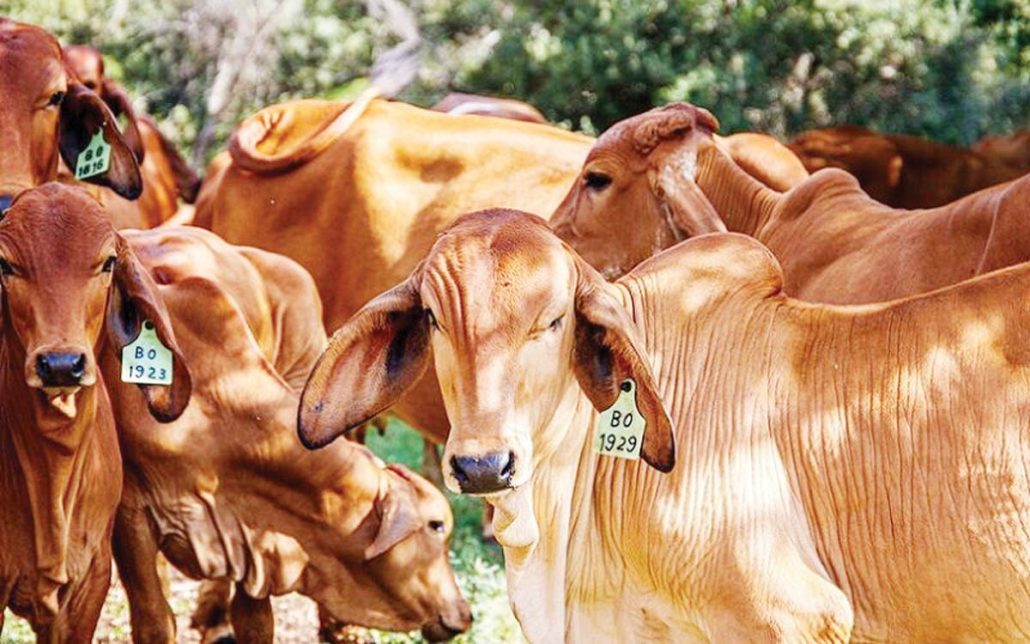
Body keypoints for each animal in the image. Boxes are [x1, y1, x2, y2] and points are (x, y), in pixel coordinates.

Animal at [102, 226, 471, 643]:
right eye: (437, 525)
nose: (464, 615)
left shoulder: (257, 542)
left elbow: (256, 621)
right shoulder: (131, 515)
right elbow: (154, 617)